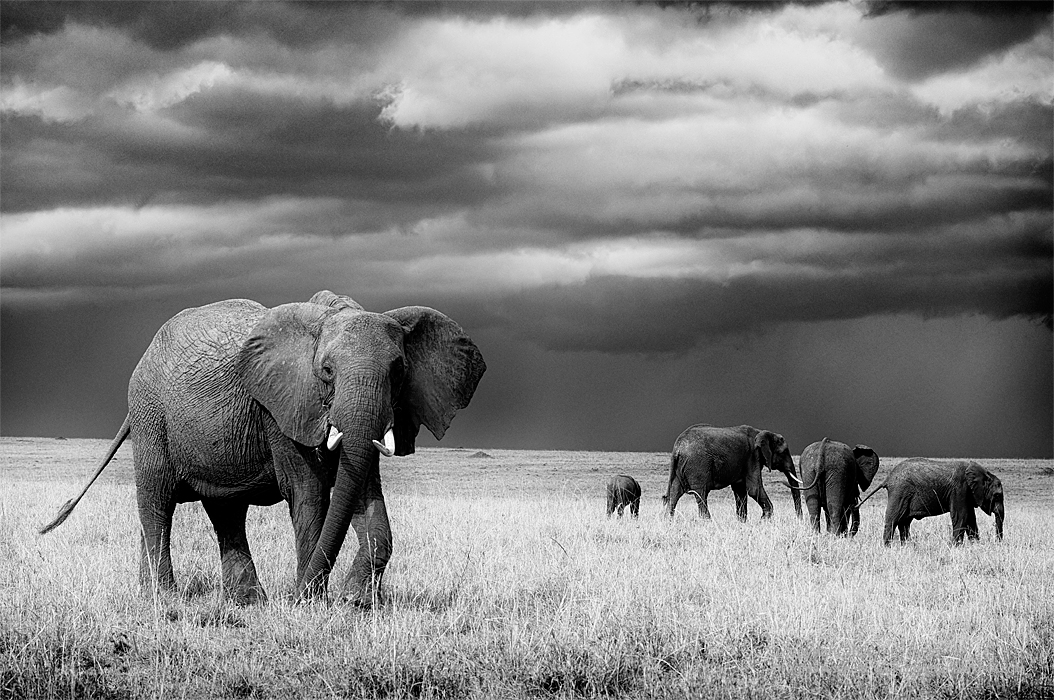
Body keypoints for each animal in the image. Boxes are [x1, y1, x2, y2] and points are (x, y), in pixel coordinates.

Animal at [40, 290, 486, 605]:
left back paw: (246, 602)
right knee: (157, 502)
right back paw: (164, 600)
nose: (298, 595)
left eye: (399, 372)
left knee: (225, 512)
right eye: (326, 371)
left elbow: (365, 495)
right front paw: (313, 603)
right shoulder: (280, 409)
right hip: (152, 416)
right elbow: (309, 497)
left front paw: (356, 602)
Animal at [662, 425, 803, 520]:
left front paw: (743, 522)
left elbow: (740, 490)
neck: (762, 432)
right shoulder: (752, 457)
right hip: (698, 465)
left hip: (681, 468)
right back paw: (707, 522)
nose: (799, 520)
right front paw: (763, 521)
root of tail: (677, 448)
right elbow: (754, 489)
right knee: (701, 494)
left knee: (674, 494)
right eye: (783, 452)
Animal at [857, 458, 1005, 546]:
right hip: (899, 492)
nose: (998, 543)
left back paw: (906, 546)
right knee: (893, 519)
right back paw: (887, 547)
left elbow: (970, 519)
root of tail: (887, 478)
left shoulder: (966, 493)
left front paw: (975, 545)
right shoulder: (960, 489)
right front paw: (956, 547)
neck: (983, 473)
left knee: (904, 522)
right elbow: (961, 516)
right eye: (997, 495)